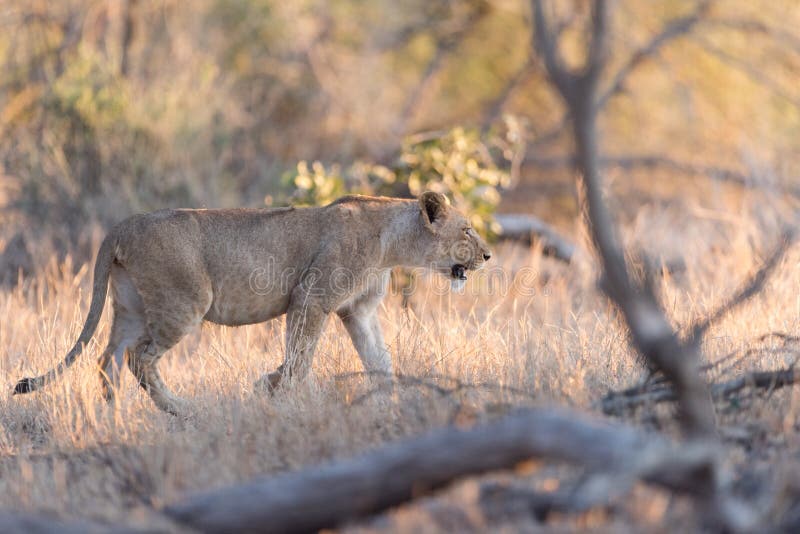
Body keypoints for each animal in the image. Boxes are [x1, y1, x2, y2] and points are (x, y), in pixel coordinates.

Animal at [13, 192, 491, 414]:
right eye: (467, 230)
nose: (488, 256)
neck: (392, 243)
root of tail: (122, 226)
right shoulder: (311, 298)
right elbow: (300, 358)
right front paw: (276, 390)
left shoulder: (358, 311)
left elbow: (380, 362)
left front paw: (391, 403)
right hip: (185, 303)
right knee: (139, 358)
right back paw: (184, 411)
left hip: (131, 307)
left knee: (106, 360)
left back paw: (112, 418)